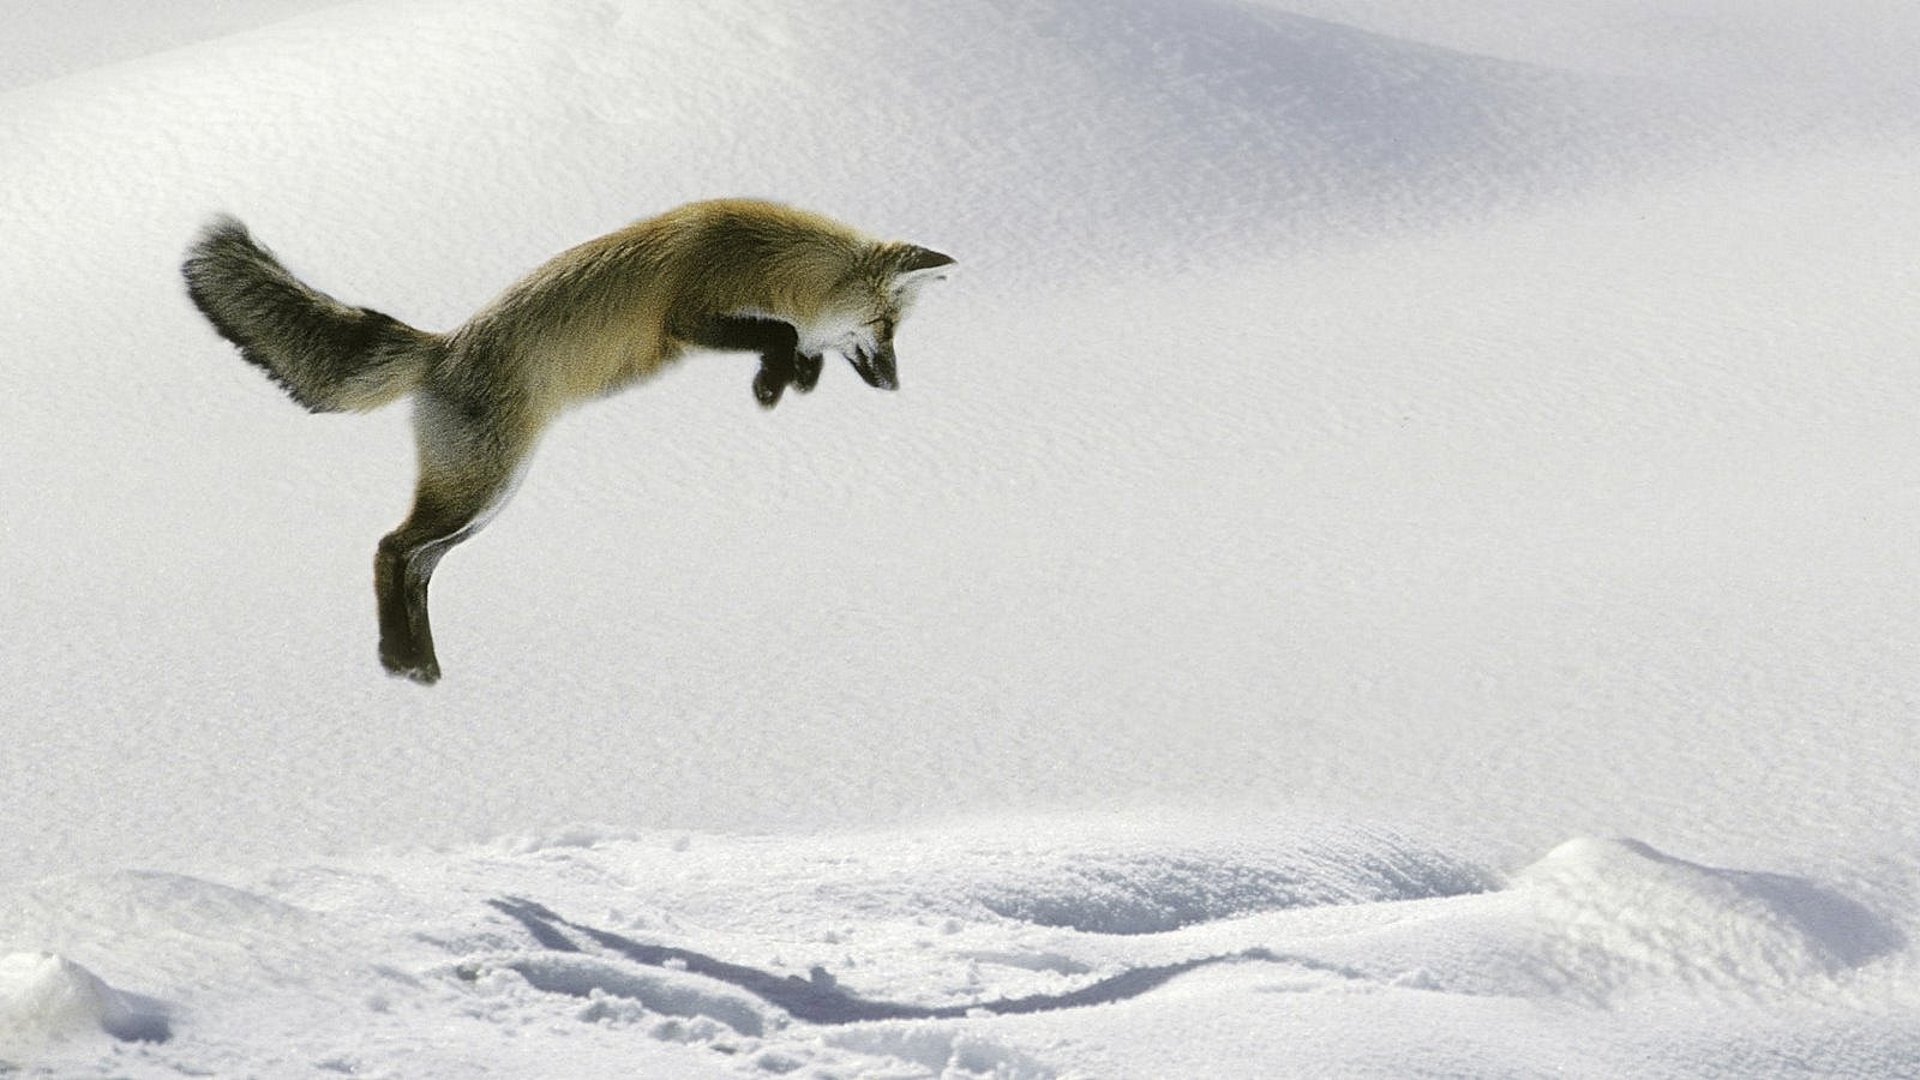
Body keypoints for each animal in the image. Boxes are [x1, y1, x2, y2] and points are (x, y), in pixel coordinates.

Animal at [182, 198, 954, 684]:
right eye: (886, 328)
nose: (894, 387)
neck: (767, 259)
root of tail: (442, 347)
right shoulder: (686, 316)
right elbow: (783, 332)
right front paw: (776, 380)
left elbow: (796, 345)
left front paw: (790, 380)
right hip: (479, 488)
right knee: (390, 549)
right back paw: (401, 661)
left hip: (487, 500)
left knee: (418, 566)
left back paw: (420, 668)